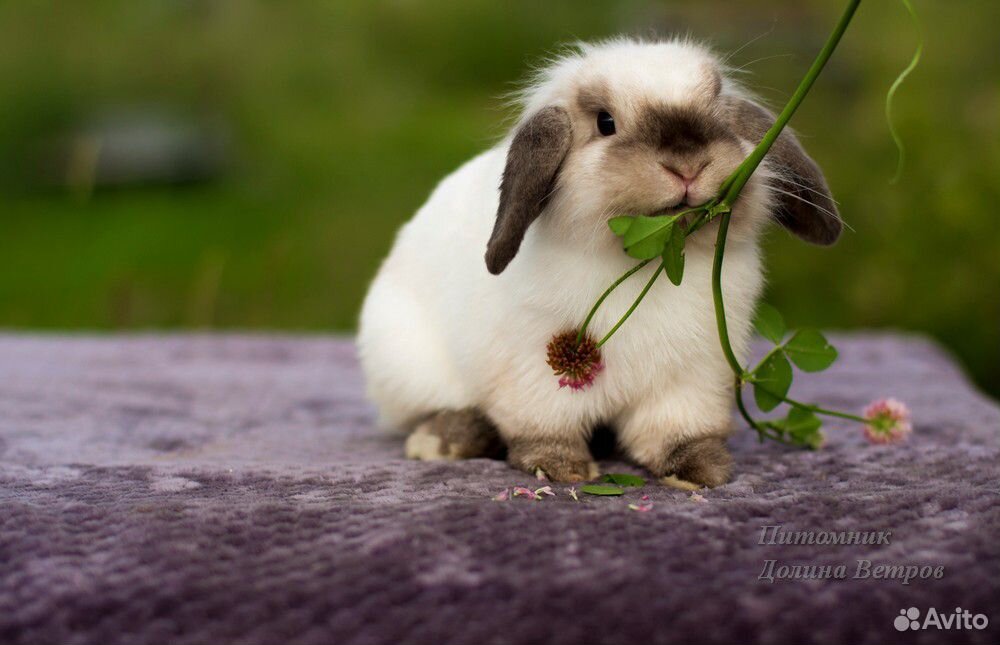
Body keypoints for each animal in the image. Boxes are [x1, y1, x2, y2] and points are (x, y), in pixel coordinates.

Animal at [357, 37, 840, 487]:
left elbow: (677, 431)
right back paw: (444, 439)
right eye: (605, 122)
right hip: (411, 369)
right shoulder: (534, 372)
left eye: (718, 116)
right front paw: (561, 468)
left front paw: (698, 469)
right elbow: (544, 427)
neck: (645, 266)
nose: (687, 164)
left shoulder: (691, 379)